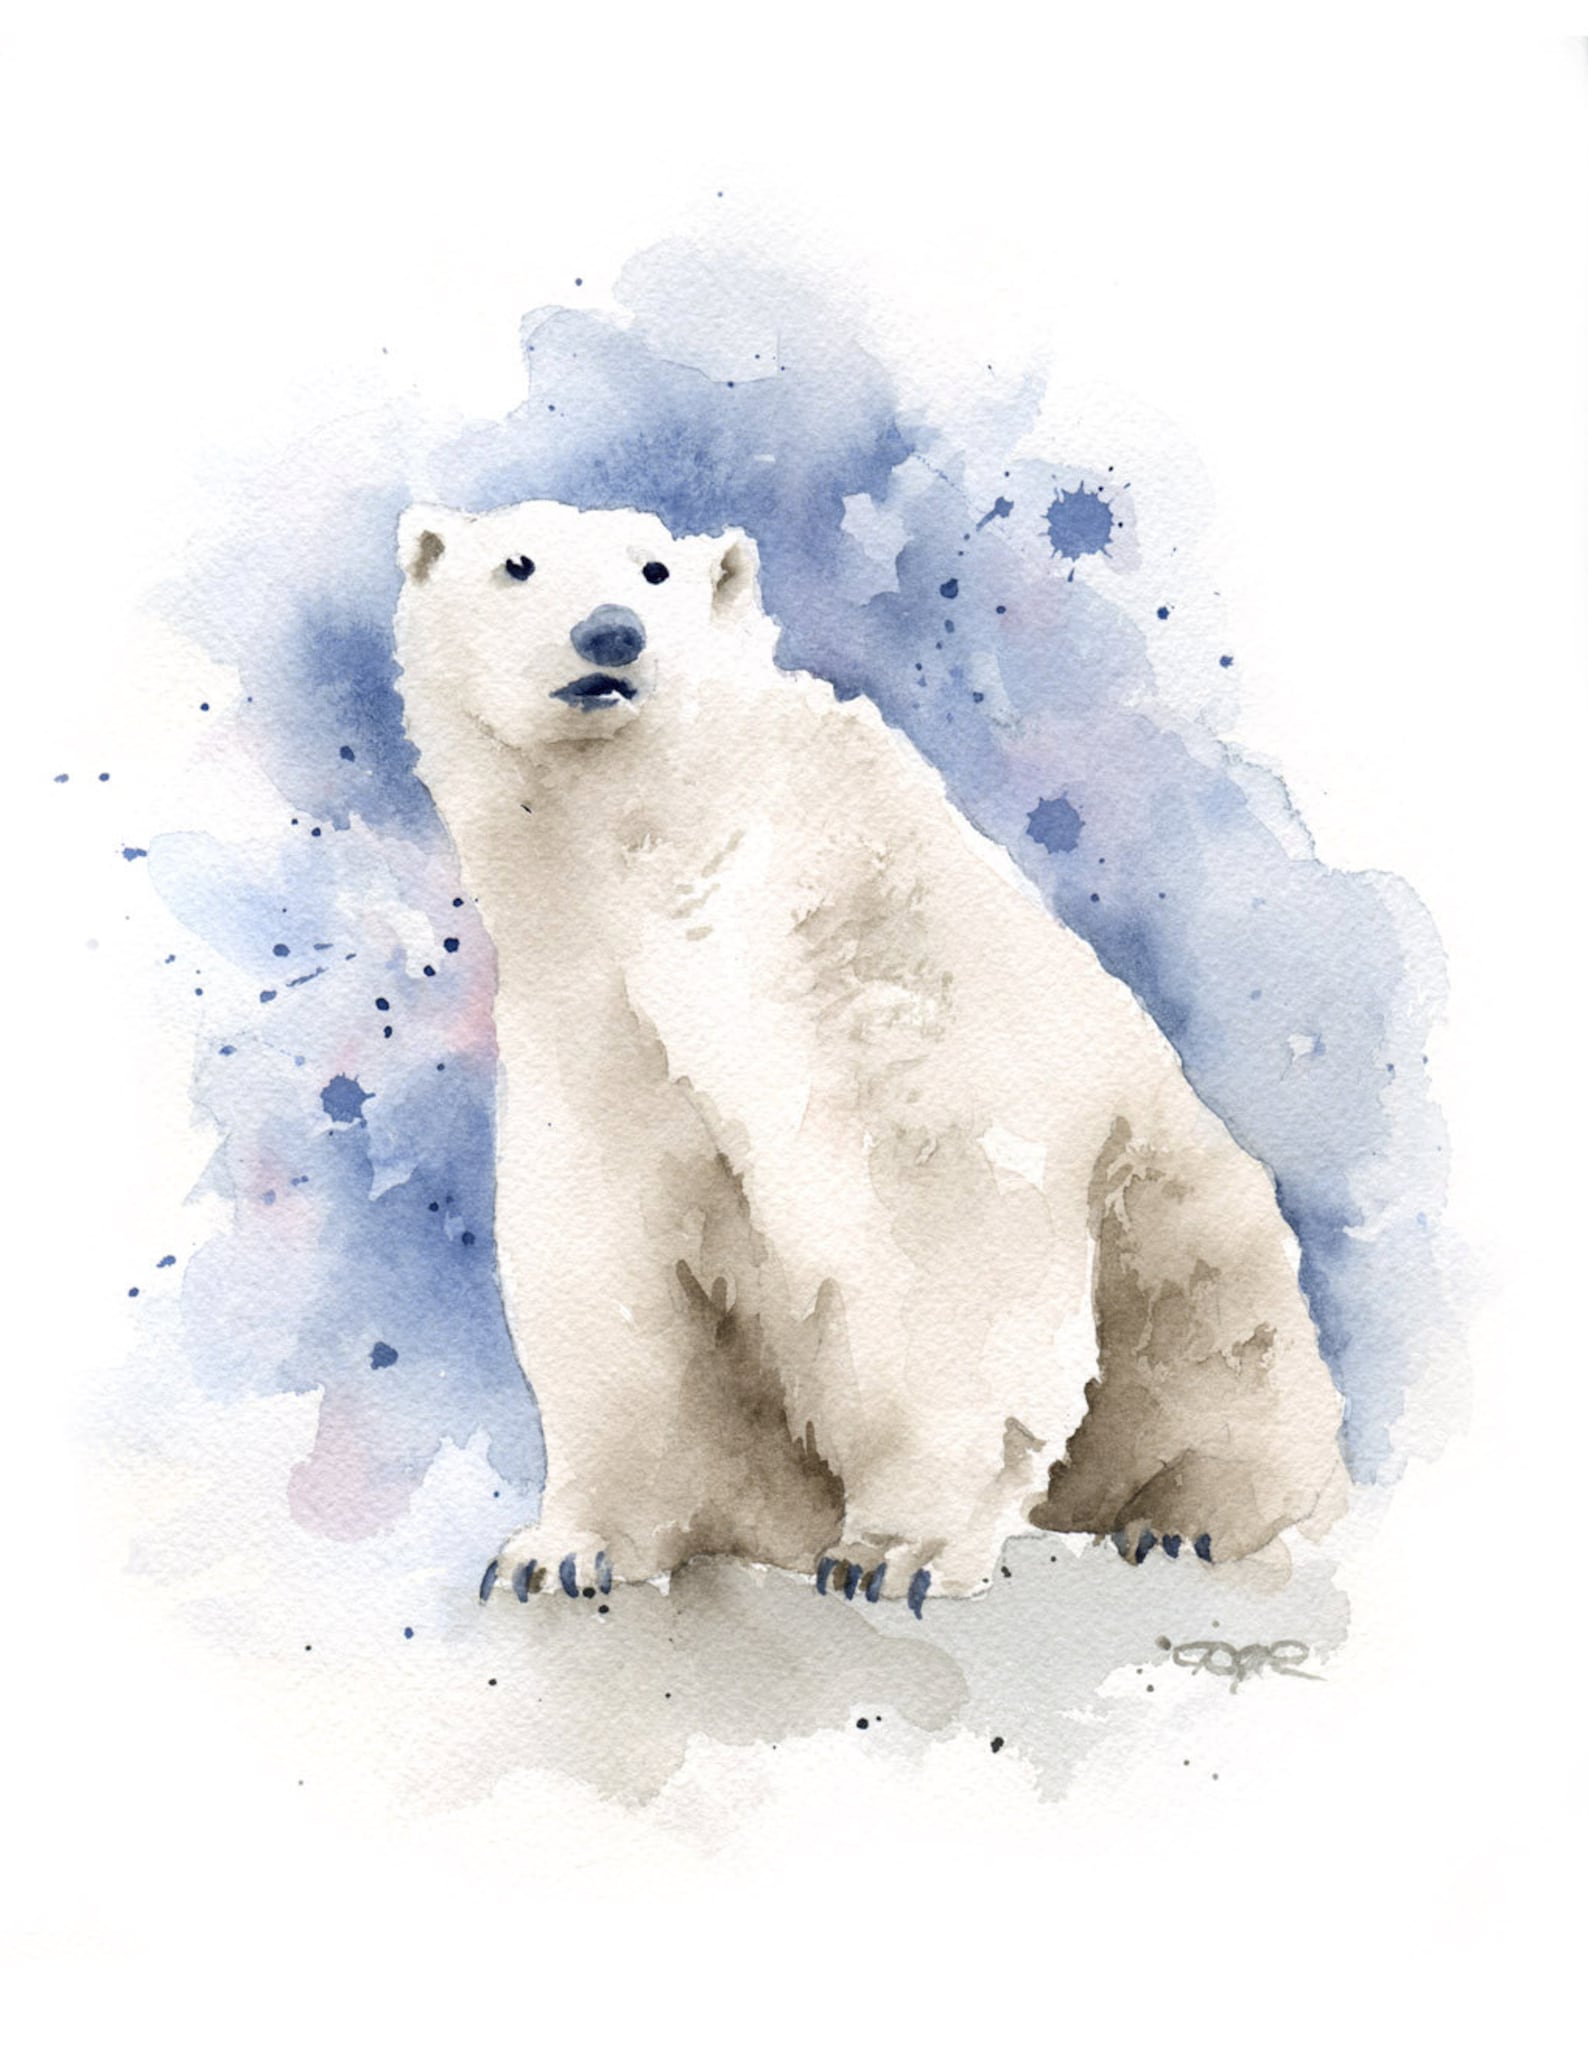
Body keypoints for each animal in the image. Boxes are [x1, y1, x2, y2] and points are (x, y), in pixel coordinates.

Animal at [393, 498, 1347, 1610]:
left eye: (656, 570)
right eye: (518, 563)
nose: (611, 634)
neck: (674, 856)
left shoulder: (867, 966)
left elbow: (936, 1229)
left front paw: (897, 1548)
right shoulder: (596, 1021)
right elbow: (607, 1253)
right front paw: (561, 1549)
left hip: (1190, 1249)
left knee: (1223, 1373)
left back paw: (1187, 1514)